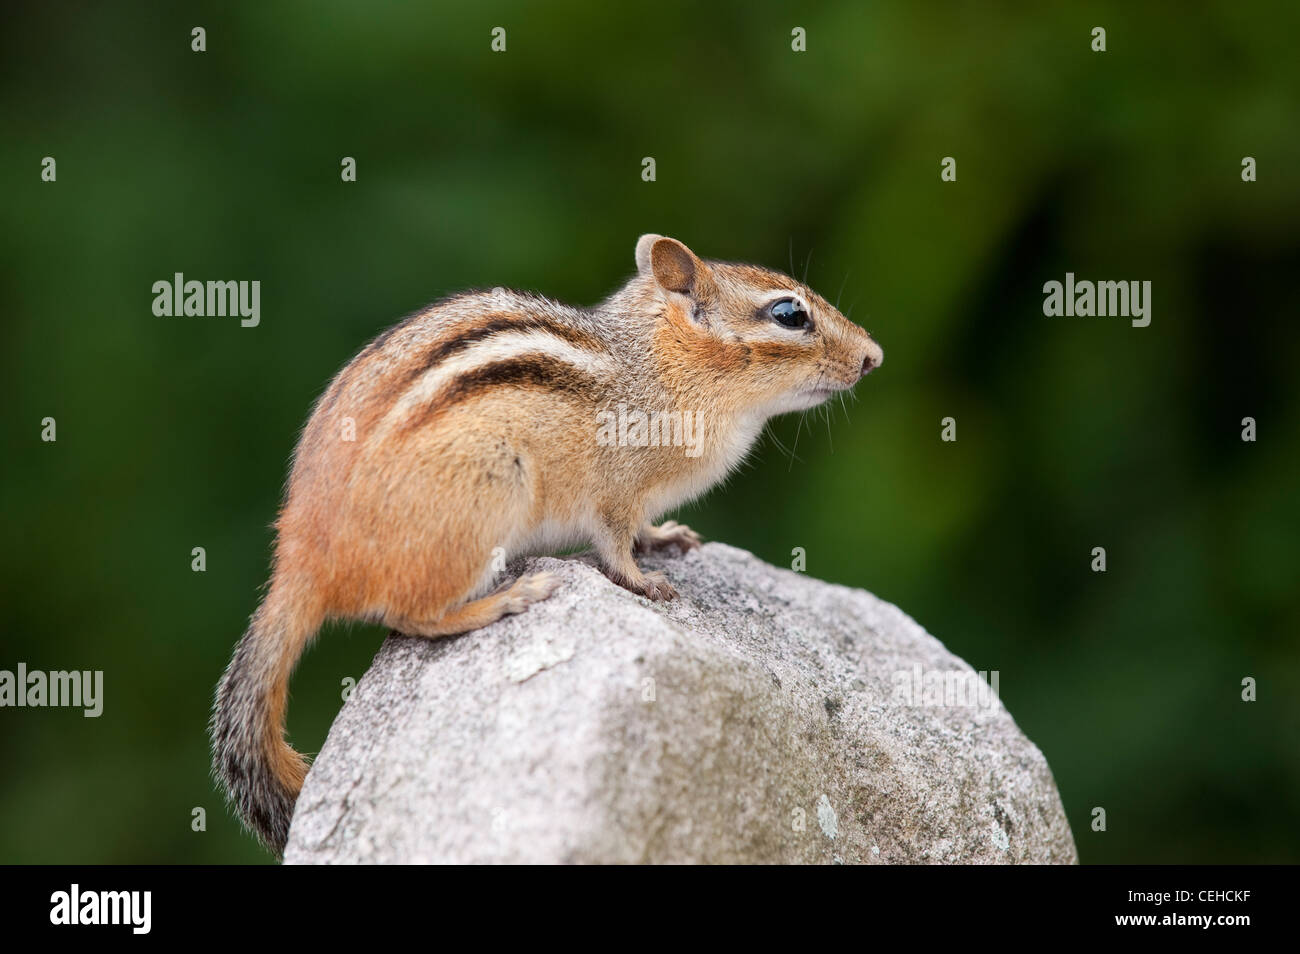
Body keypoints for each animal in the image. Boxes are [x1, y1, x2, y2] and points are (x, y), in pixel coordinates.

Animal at [211, 234, 883, 855]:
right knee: (412, 615)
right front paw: (642, 580)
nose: (874, 357)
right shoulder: (615, 491)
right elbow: (613, 543)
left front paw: (666, 537)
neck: (658, 369)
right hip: (487, 494)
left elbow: (641, 529)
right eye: (789, 314)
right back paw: (507, 599)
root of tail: (302, 562)